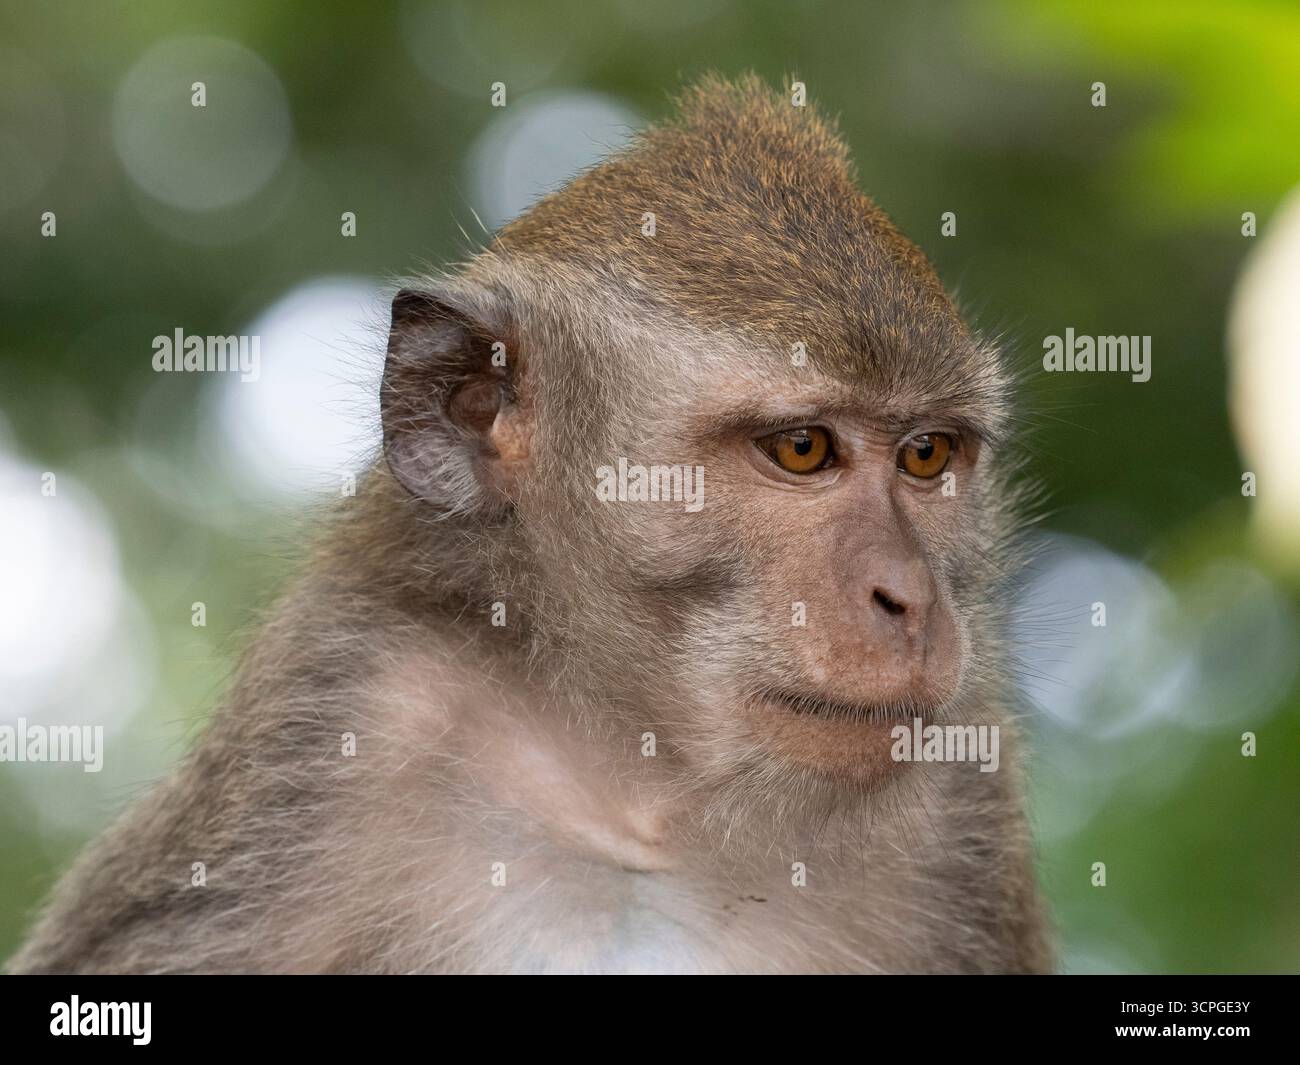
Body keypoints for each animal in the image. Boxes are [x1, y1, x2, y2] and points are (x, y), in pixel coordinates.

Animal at [9, 75, 1051, 975]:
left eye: (927, 455)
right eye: (803, 448)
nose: (908, 596)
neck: (640, 801)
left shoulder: (962, 804)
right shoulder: (334, 720)